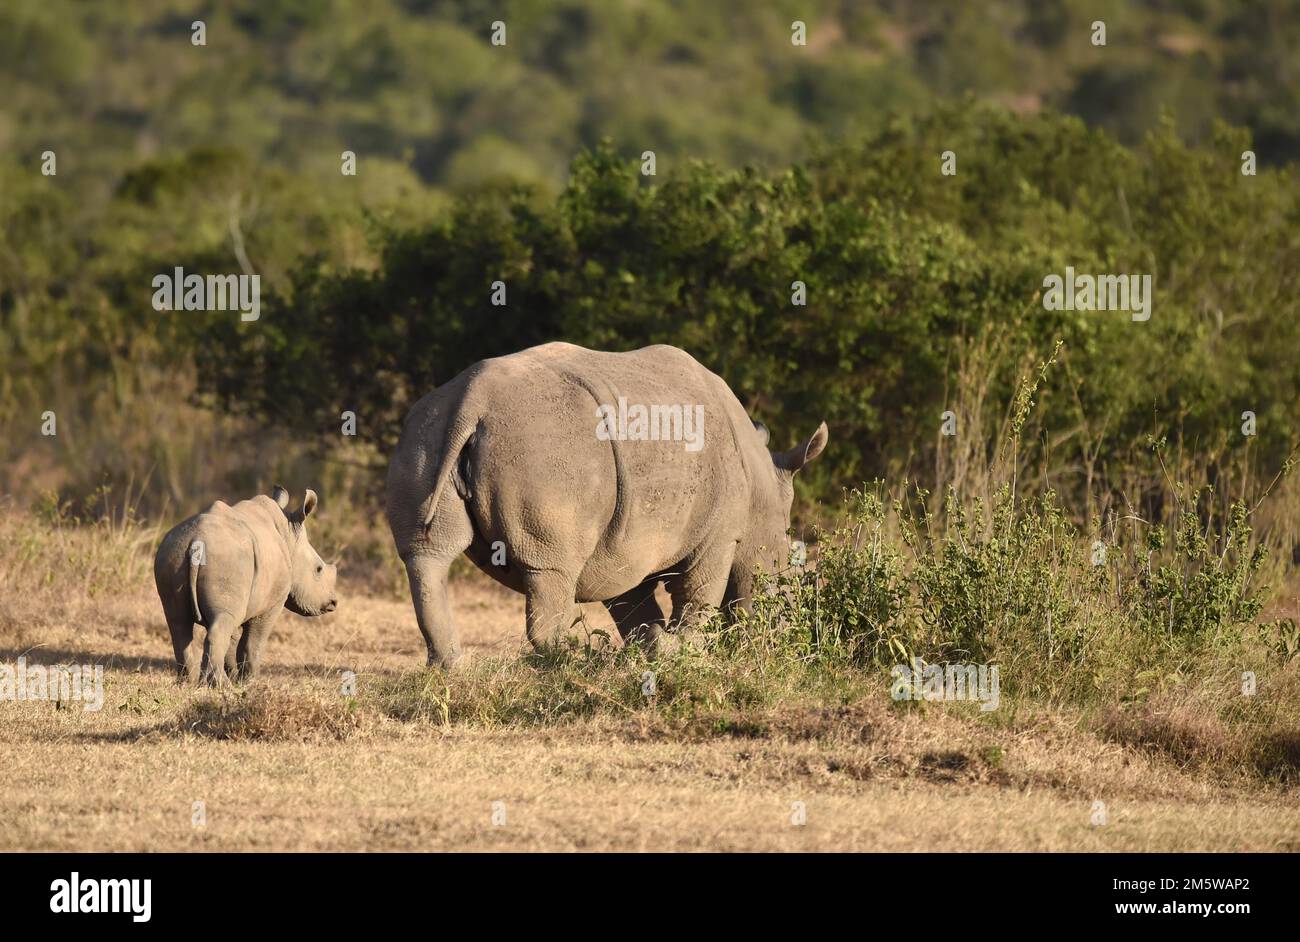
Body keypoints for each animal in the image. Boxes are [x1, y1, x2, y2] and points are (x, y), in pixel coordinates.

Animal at [154, 486, 338, 685]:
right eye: (319, 569)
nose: (333, 602)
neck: (289, 539)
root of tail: (196, 540)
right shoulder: (272, 603)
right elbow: (253, 642)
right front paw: (249, 681)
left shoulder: (240, 597)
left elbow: (233, 638)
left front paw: (235, 675)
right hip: (228, 558)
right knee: (215, 624)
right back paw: (220, 685)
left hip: (173, 553)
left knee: (178, 622)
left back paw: (187, 682)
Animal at [385, 342, 827, 668]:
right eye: (790, 560)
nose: (790, 637)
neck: (762, 486)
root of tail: (471, 402)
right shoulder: (717, 536)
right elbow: (699, 595)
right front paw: (680, 652)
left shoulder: (623, 541)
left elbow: (636, 607)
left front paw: (651, 650)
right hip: (547, 449)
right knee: (551, 566)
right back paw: (568, 662)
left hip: (427, 431)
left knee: (427, 553)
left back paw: (449, 669)